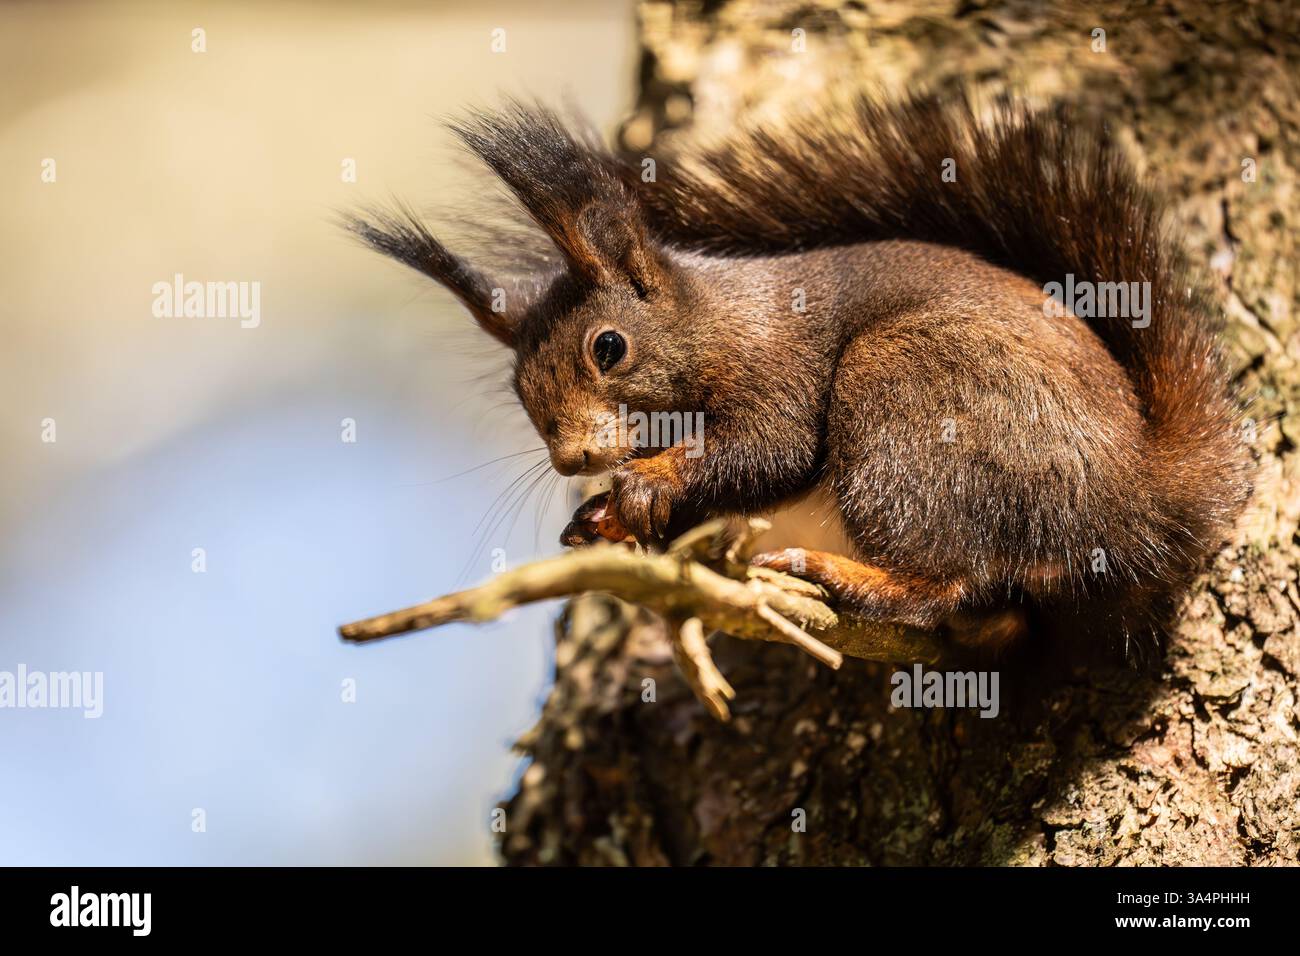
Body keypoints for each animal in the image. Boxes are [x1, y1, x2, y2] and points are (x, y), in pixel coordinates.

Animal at [348, 93, 1251, 657]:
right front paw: (599, 518)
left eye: (608, 348)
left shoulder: (777, 366)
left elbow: (772, 451)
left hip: (904, 391)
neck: (711, 322)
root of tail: (1131, 492)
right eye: (519, 392)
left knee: (943, 580)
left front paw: (646, 483)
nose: (574, 461)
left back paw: (842, 576)